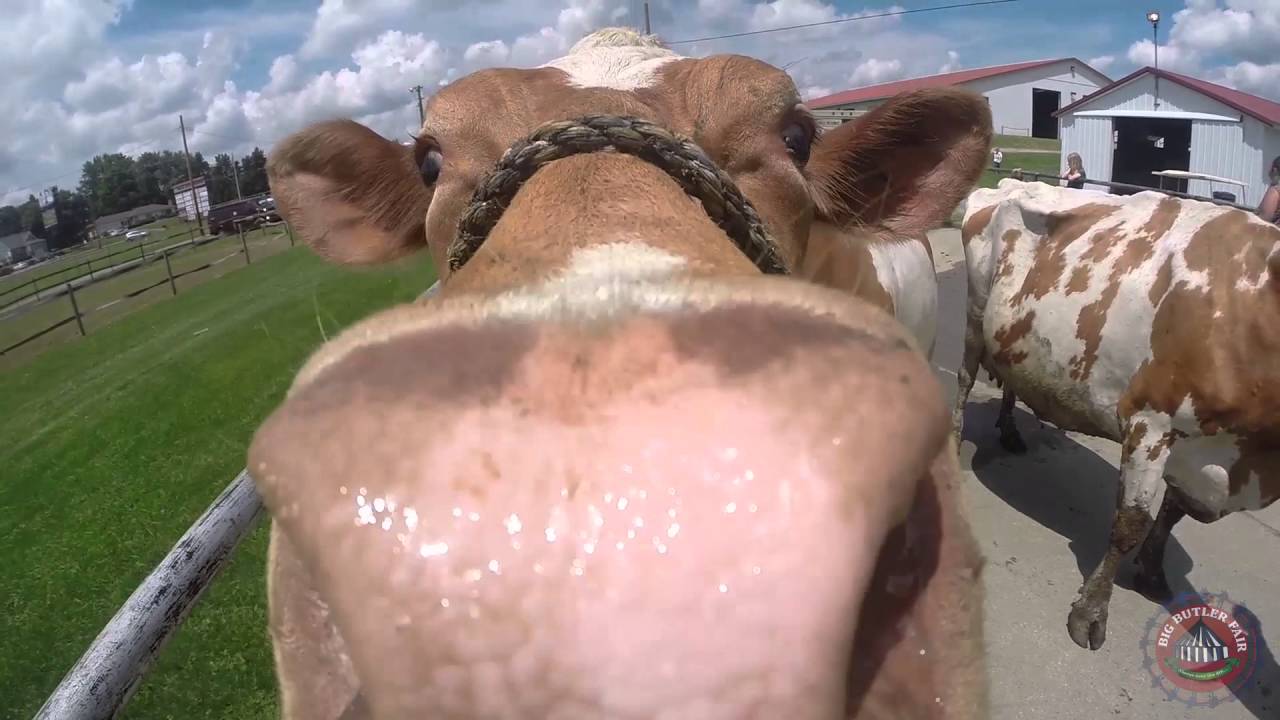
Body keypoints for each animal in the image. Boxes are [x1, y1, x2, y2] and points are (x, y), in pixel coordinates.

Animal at [954, 178, 1280, 652]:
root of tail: (1009, 182)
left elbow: (1172, 512)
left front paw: (1153, 571)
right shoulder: (1152, 421)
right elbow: (1131, 523)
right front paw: (1090, 613)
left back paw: (1011, 430)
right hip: (975, 313)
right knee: (964, 379)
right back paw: (954, 438)